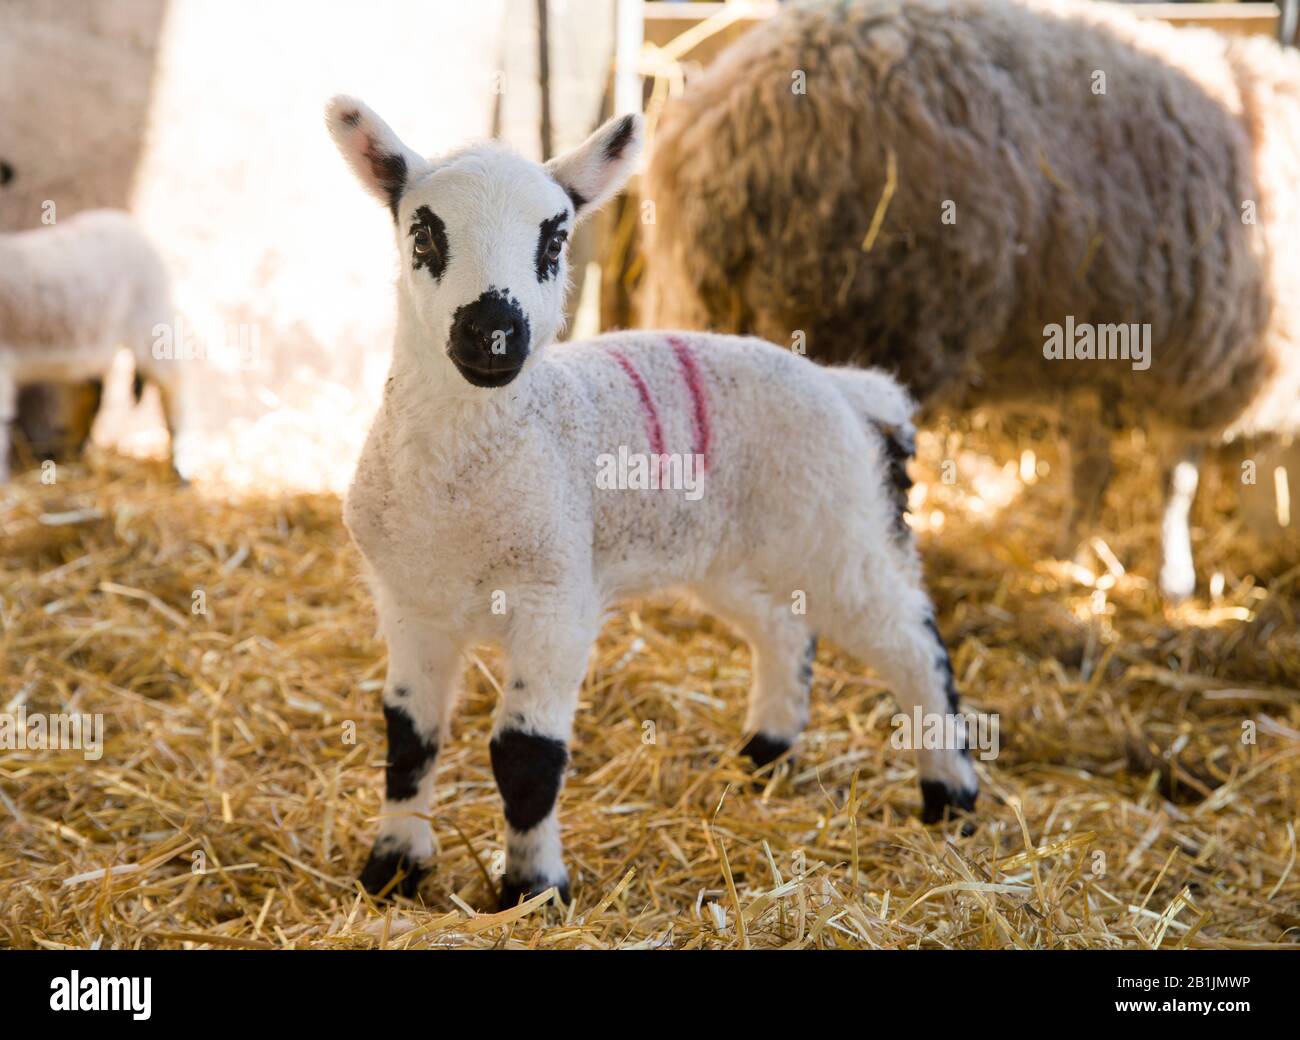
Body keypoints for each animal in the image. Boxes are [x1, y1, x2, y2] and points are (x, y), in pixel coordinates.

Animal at [0, 209, 187, 482]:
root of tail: (122, 219)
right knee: (94, 391)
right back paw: (71, 452)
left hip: (150, 317)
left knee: (172, 383)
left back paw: (182, 465)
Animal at [325, 95, 979, 907]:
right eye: (424, 232)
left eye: (555, 238)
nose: (493, 332)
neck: (457, 485)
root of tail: (843, 386)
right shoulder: (411, 602)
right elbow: (408, 739)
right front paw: (392, 869)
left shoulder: (556, 598)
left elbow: (525, 757)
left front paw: (533, 891)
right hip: (734, 547)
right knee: (784, 630)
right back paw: (764, 754)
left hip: (834, 524)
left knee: (912, 640)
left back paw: (950, 794)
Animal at [641, 0, 1300, 600]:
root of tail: (720, 129)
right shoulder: (1206, 362)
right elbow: (1174, 480)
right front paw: (1175, 581)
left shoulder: (1093, 358)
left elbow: (1093, 469)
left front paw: (1070, 554)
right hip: (861, 317)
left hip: (719, 316)